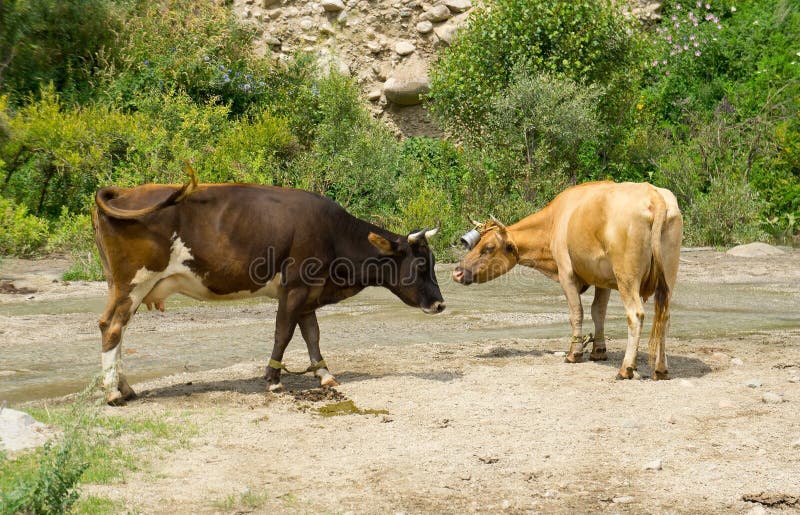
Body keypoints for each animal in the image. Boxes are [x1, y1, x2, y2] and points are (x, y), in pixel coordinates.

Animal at [92, 169, 445, 404]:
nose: (441, 304)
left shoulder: (309, 291)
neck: (333, 235)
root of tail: (125, 192)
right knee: (112, 327)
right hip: (133, 283)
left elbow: (312, 334)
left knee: (116, 329)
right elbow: (283, 333)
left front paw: (324, 374)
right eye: (421, 265)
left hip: (119, 284)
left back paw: (125, 387)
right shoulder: (295, 287)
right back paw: (113, 393)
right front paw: (273, 380)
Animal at [452, 181, 682, 380]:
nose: (457, 272)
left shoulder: (566, 274)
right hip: (668, 276)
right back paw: (661, 369)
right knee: (665, 316)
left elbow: (576, 313)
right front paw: (598, 350)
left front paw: (575, 353)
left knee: (635, 315)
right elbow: (598, 312)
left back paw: (626, 368)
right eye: (476, 244)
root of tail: (653, 194)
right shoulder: (602, 279)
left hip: (626, 277)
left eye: (488, 248)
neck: (555, 220)